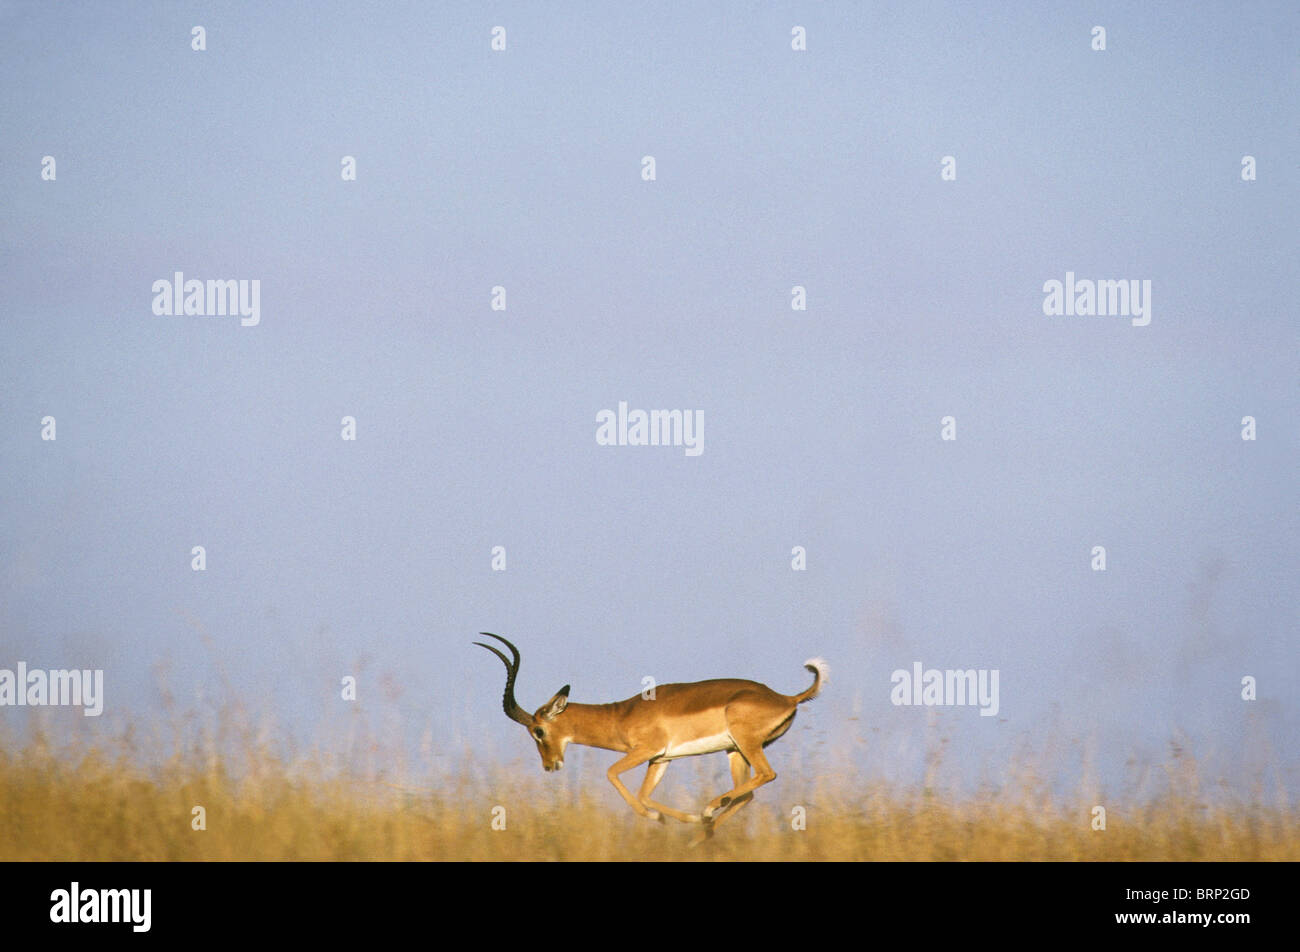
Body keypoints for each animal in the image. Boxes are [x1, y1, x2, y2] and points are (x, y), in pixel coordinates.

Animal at [474, 632, 826, 836]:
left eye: (538, 730)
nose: (550, 766)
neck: (621, 715)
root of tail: (786, 698)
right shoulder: (660, 759)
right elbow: (644, 795)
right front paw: (670, 819)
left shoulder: (644, 751)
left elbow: (612, 773)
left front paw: (665, 818)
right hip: (735, 751)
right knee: (747, 794)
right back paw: (702, 833)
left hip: (746, 745)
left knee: (767, 775)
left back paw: (708, 810)